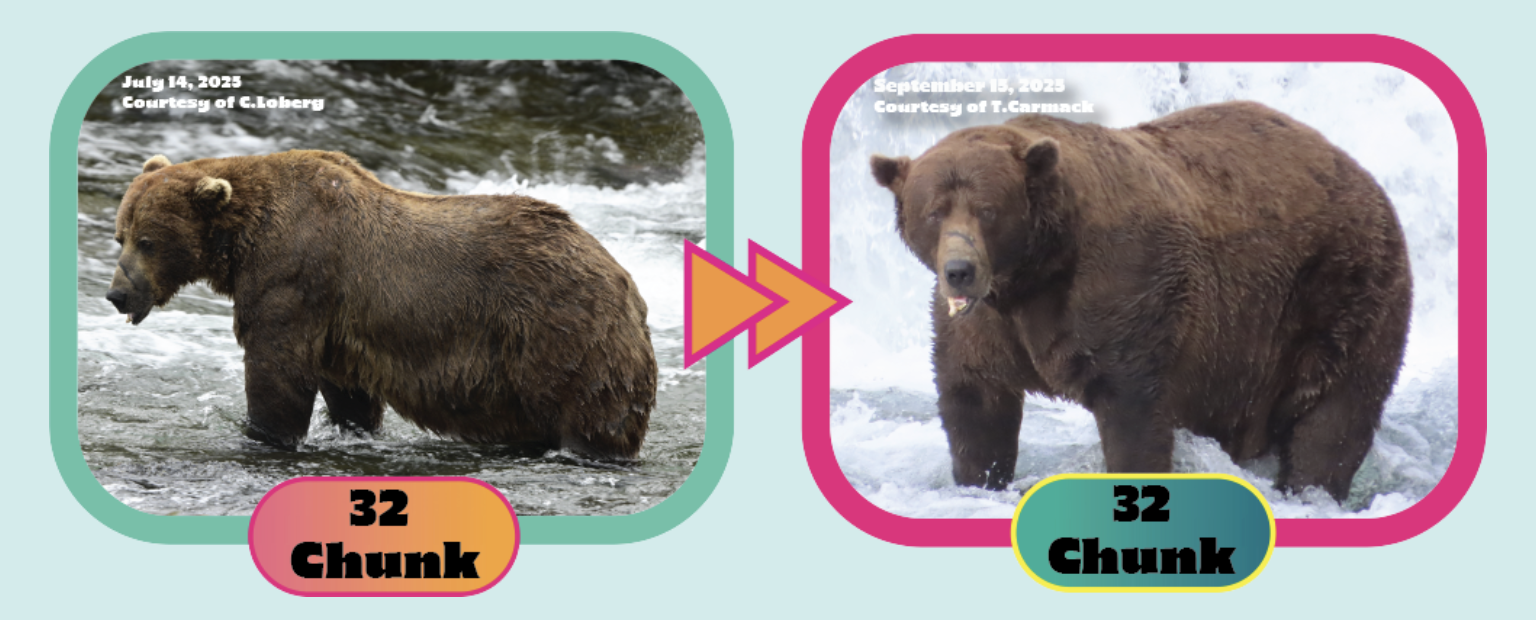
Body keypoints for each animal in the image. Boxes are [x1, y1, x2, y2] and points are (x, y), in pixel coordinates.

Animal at [105, 150, 656, 459]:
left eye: (148, 240)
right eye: (120, 236)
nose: (117, 294)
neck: (241, 239)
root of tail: (625, 280)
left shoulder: (294, 273)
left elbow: (276, 369)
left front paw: (262, 434)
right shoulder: (337, 321)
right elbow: (346, 390)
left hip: (561, 329)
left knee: (589, 411)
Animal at [869, 101, 1411, 502]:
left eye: (987, 210)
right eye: (934, 211)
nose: (960, 270)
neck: (1033, 274)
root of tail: (1361, 173)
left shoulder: (1124, 289)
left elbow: (1132, 409)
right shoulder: (985, 326)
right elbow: (975, 401)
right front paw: (979, 481)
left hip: (1339, 289)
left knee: (1335, 412)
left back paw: (1311, 489)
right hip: (1243, 354)